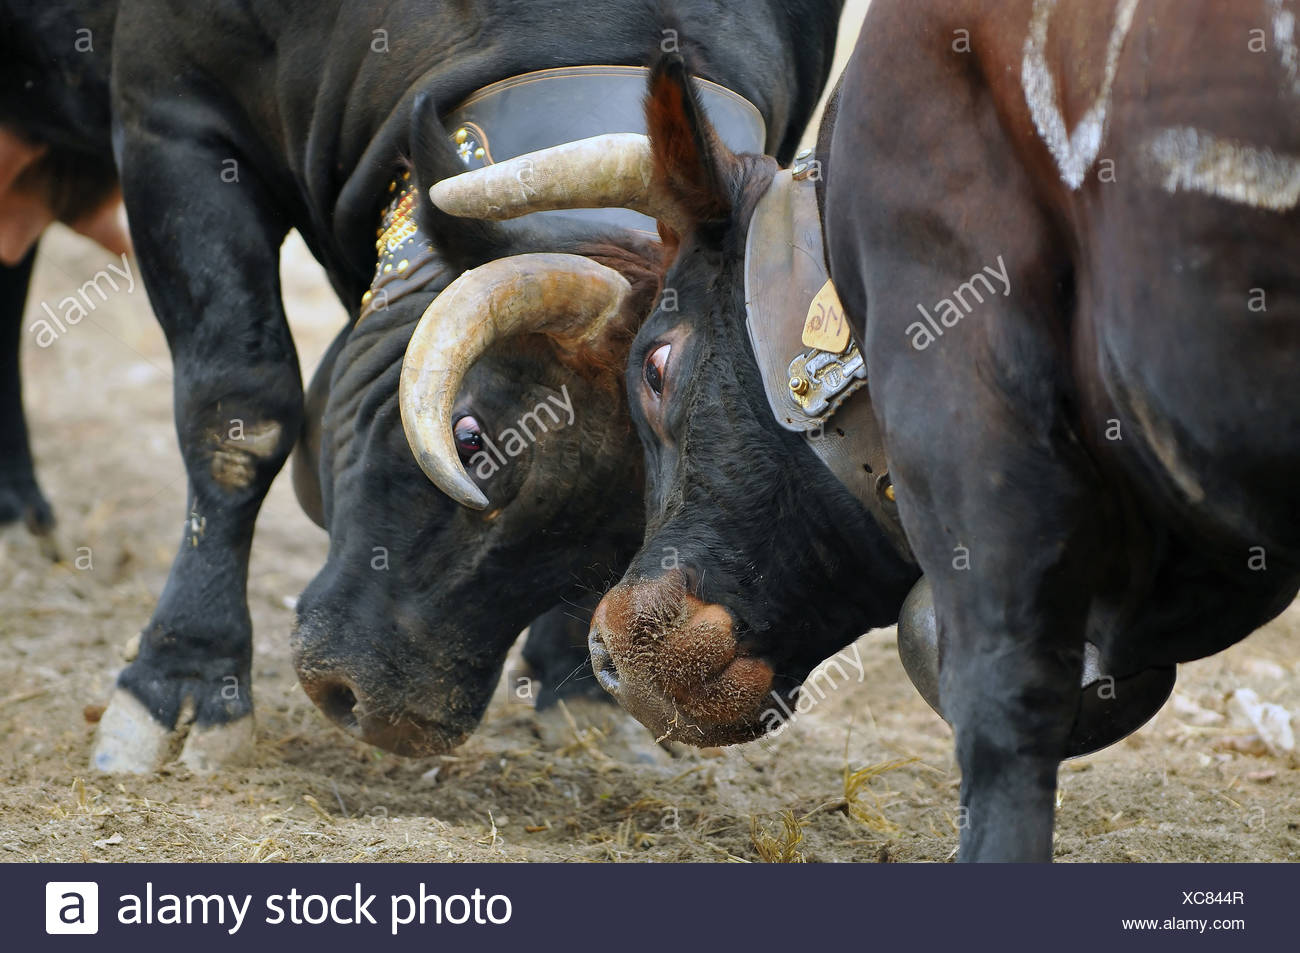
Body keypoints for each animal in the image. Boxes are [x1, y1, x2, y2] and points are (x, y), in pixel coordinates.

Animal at [1, 0, 845, 771]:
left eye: (631, 524)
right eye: (468, 438)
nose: (387, 711)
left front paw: (577, 689)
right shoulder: (175, 116)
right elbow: (240, 411)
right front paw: (184, 676)